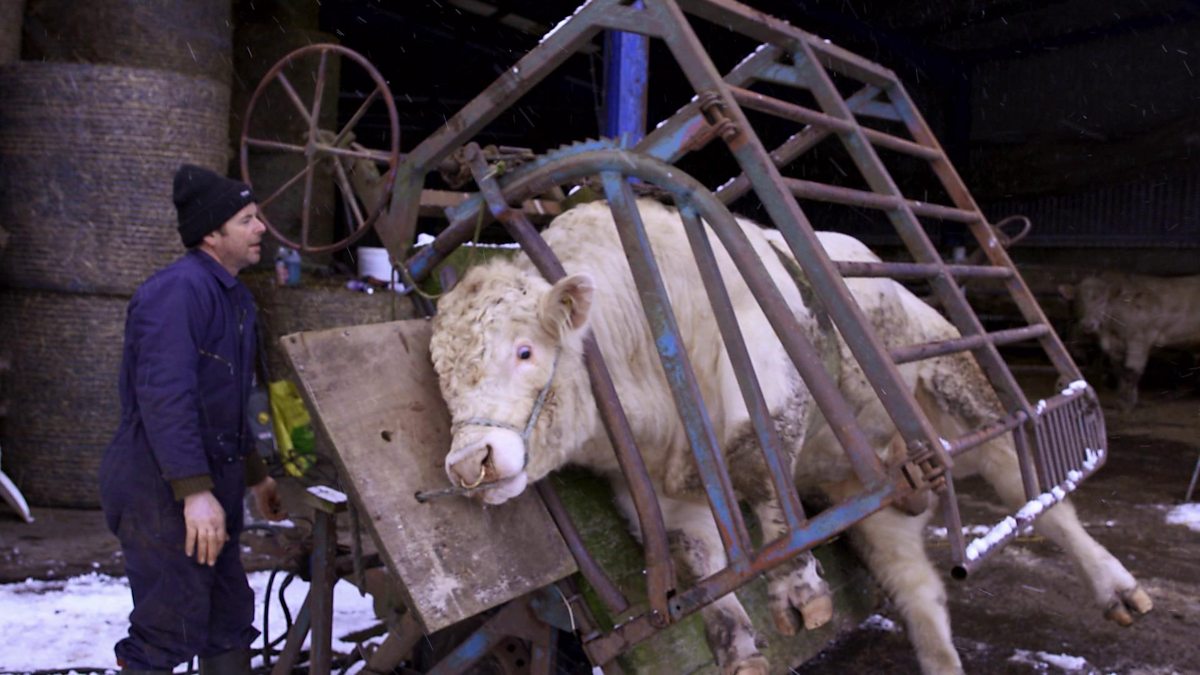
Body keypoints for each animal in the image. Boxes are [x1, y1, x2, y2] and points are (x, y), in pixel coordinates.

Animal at [429, 199, 1152, 675]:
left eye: (525, 350)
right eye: (439, 377)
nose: (468, 465)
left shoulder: (766, 366)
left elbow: (759, 462)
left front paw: (799, 591)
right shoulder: (653, 494)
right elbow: (701, 558)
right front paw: (738, 643)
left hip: (961, 385)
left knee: (1044, 502)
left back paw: (1119, 589)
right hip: (872, 502)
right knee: (920, 593)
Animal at [1059, 272, 1200, 411]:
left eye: (1103, 300)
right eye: (1078, 300)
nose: (1088, 324)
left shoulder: (1139, 341)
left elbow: (1132, 371)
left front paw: (1129, 403)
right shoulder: (1115, 347)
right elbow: (1119, 370)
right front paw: (1121, 399)